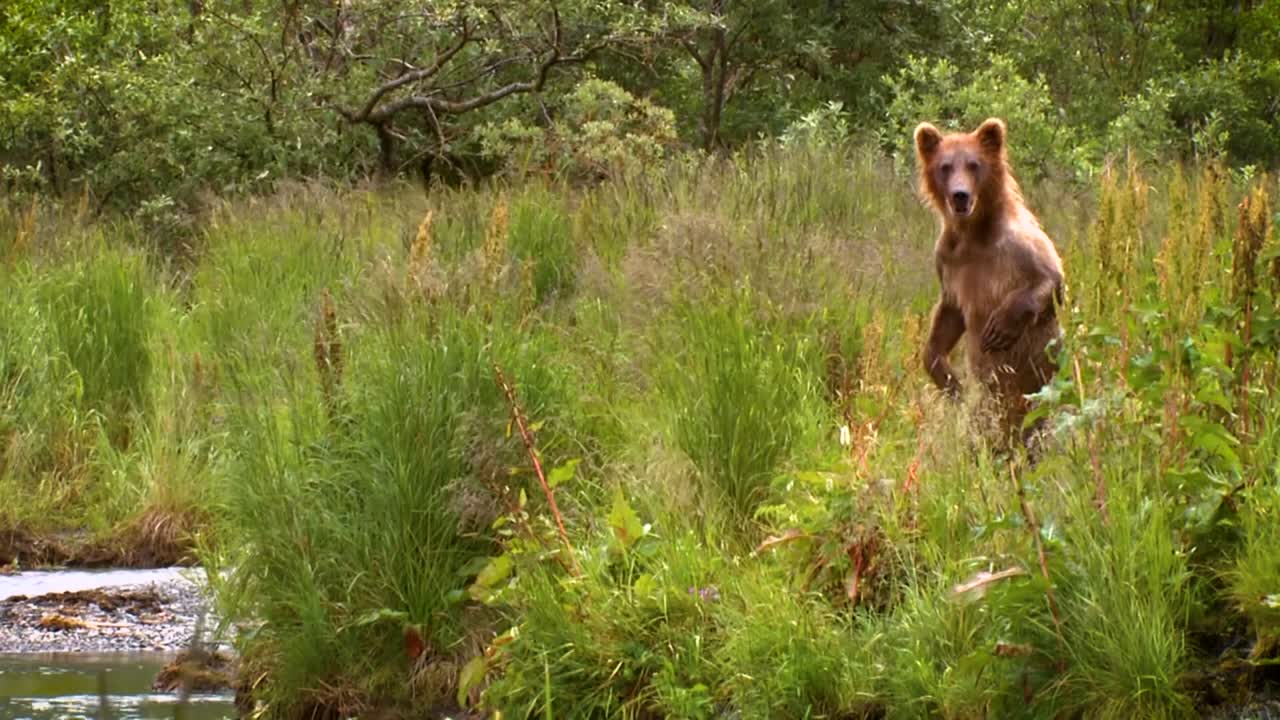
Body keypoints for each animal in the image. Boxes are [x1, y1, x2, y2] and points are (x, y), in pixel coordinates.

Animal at [914, 118, 1065, 447]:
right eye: (945, 166)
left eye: (974, 164)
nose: (959, 194)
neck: (972, 234)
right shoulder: (948, 260)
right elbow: (948, 315)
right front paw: (949, 380)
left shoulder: (1018, 244)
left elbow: (1051, 281)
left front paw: (999, 327)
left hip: (1042, 386)